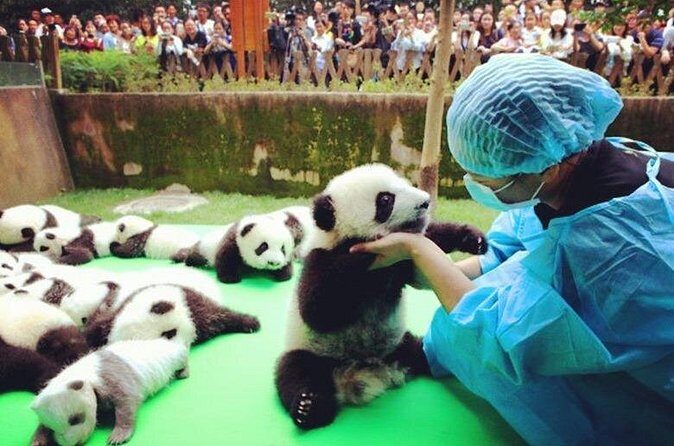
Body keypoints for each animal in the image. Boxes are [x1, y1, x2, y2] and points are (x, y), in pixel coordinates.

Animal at [31, 339, 189, 446]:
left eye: (75, 419)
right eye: (52, 428)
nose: (70, 443)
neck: (82, 373)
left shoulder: (111, 376)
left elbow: (127, 401)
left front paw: (118, 436)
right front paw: (38, 440)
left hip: (171, 355)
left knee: (181, 357)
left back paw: (184, 372)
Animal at [172, 212, 301, 284]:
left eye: (283, 249)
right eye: (263, 246)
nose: (273, 263)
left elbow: (286, 265)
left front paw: (284, 274)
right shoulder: (233, 242)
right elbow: (226, 259)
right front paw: (230, 278)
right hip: (205, 248)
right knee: (195, 256)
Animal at [275, 164, 487, 430]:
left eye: (404, 184)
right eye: (385, 199)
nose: (426, 202)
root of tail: (364, 373)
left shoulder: (402, 263)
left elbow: (429, 239)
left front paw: (473, 239)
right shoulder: (319, 260)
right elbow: (317, 310)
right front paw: (363, 250)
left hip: (398, 343)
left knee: (422, 351)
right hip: (313, 351)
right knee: (296, 371)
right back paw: (309, 407)